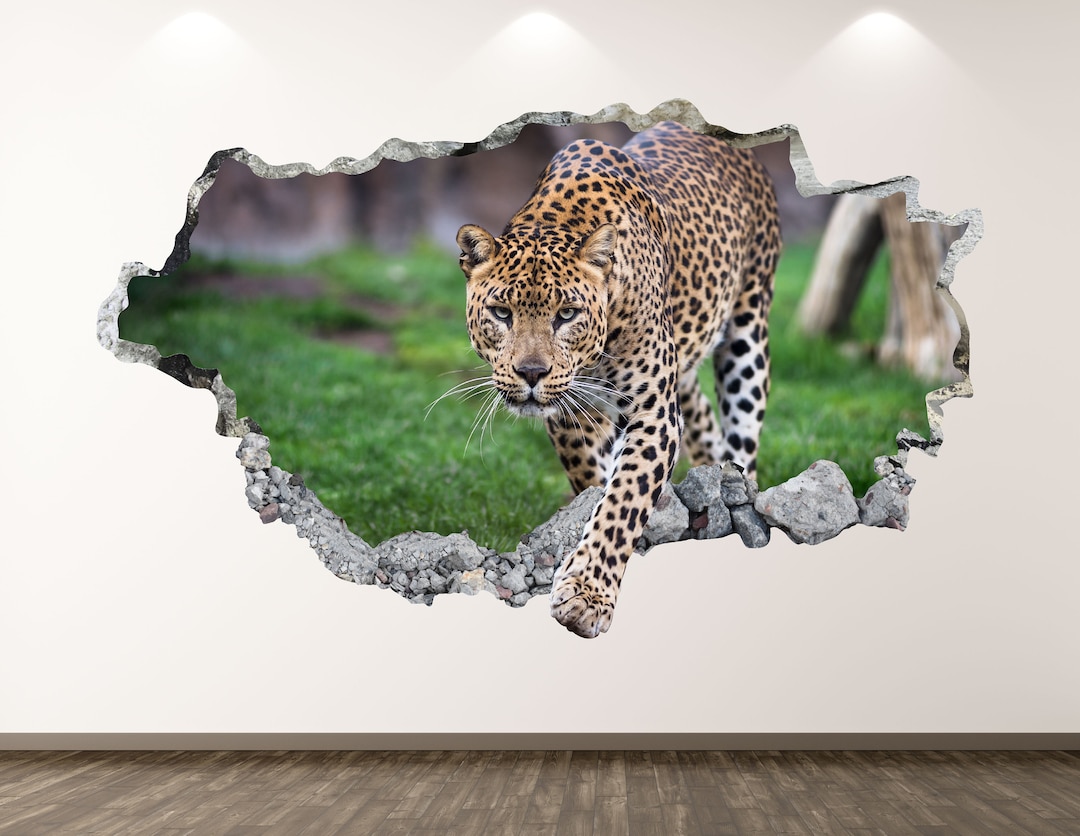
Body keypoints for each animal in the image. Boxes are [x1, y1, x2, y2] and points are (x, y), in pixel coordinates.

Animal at [456, 121, 781, 638]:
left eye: (567, 314)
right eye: (501, 313)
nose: (531, 373)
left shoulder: (654, 413)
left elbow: (622, 501)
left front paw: (587, 595)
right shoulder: (573, 416)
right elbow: (596, 483)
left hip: (748, 332)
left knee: (742, 431)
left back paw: (737, 493)